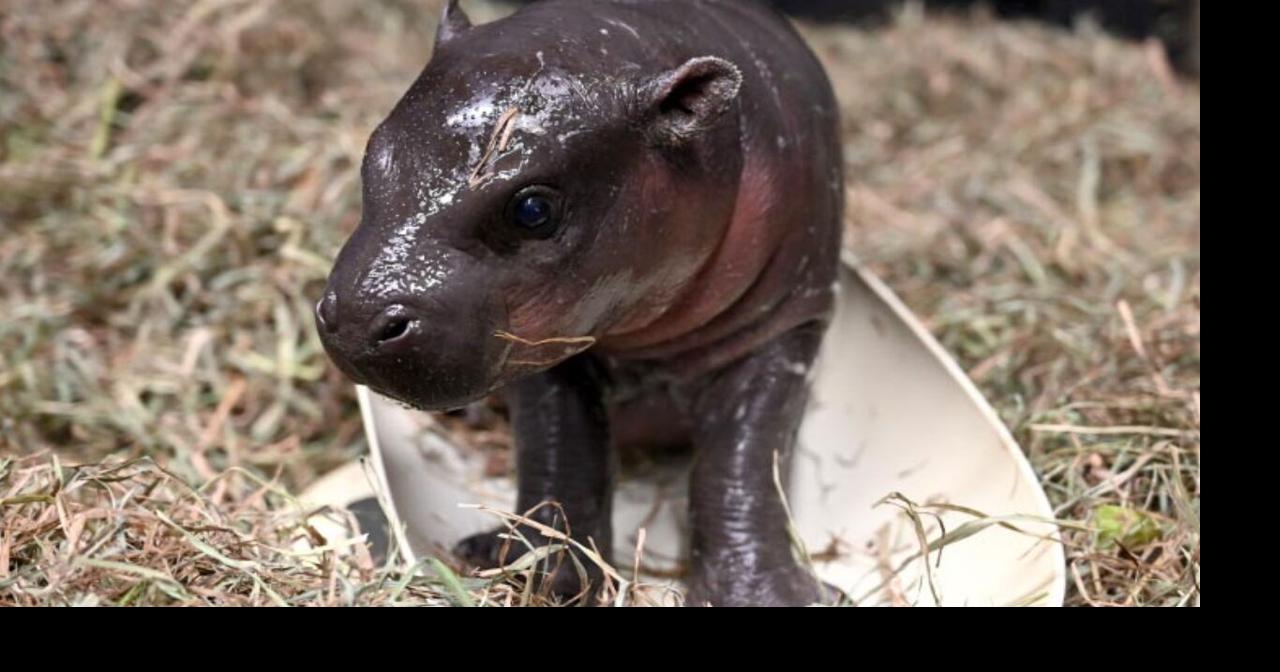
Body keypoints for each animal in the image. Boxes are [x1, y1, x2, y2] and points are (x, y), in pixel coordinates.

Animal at [316, 0, 844, 607]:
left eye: (533, 209)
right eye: (373, 153)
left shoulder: (786, 327)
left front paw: (772, 595)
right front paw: (529, 571)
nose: (357, 319)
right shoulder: (545, 347)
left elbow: (742, 462)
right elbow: (565, 449)